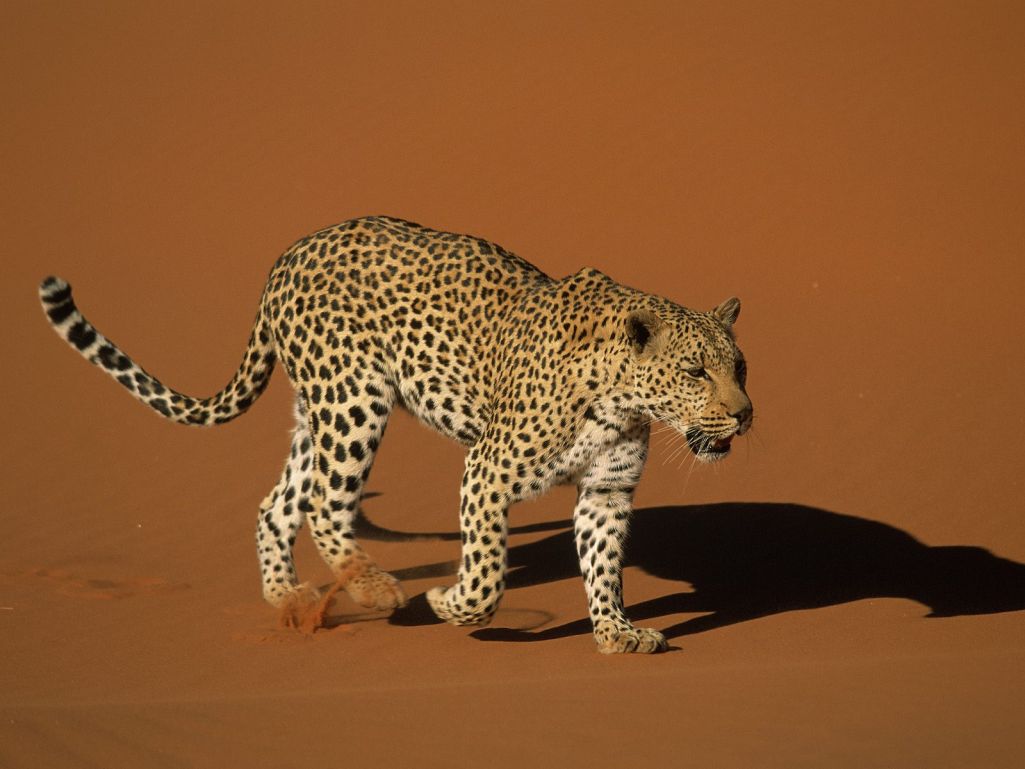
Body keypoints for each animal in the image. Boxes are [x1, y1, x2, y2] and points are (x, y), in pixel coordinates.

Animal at [37, 217, 754, 656]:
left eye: (739, 367)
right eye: (695, 372)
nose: (744, 414)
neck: (621, 398)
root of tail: (288, 254)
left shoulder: (606, 492)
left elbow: (603, 568)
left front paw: (615, 632)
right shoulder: (487, 470)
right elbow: (487, 572)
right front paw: (450, 603)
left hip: (317, 415)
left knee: (278, 504)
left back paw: (290, 598)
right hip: (354, 401)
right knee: (325, 503)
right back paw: (374, 588)